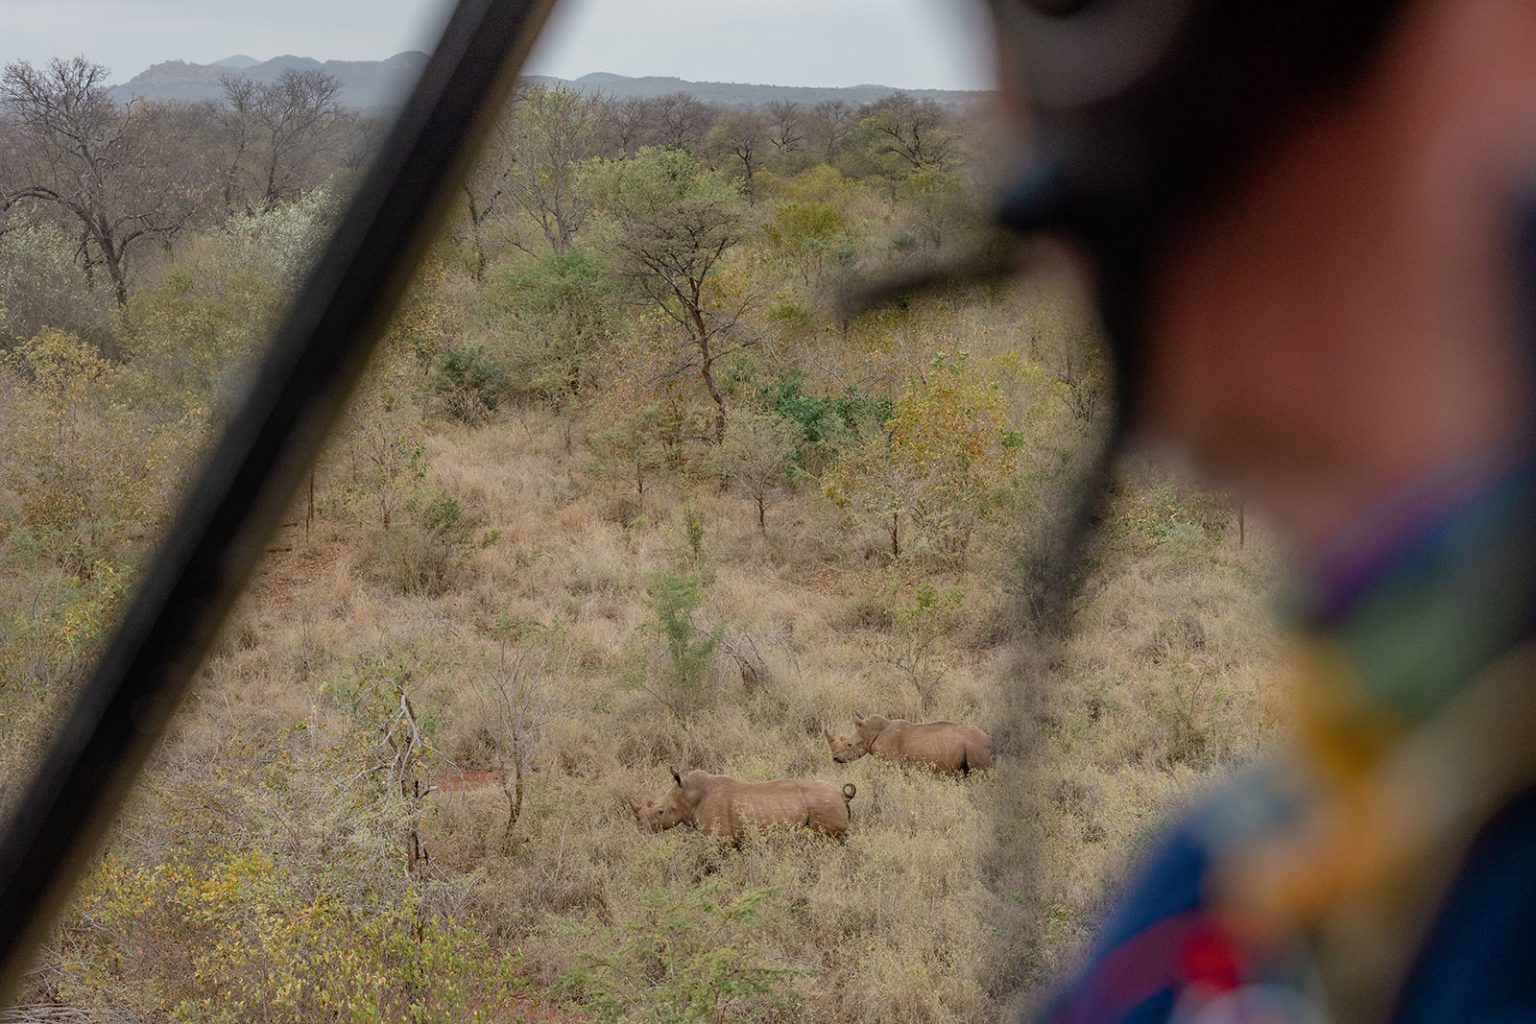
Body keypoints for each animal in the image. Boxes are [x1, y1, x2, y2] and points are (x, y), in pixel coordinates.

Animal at [629, 769, 857, 840]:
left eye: (661, 811)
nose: (640, 828)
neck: (688, 794)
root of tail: (841, 795)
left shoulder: (720, 838)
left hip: (824, 804)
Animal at [825, 713, 993, 775]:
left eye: (849, 745)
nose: (835, 758)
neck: (870, 732)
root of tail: (988, 739)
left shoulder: (889, 761)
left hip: (976, 745)